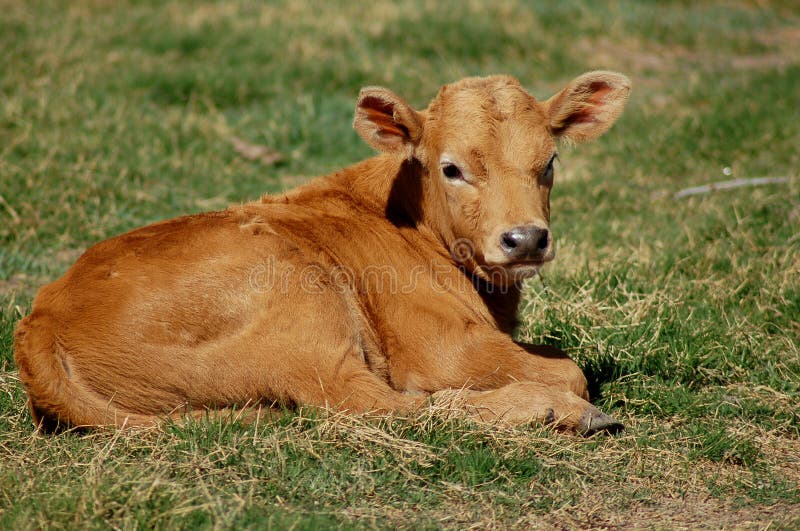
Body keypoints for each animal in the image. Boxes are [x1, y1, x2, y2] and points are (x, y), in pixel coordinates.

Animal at [14, 71, 630, 434]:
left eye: (549, 161)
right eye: (452, 168)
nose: (525, 238)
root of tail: (42, 316)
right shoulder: (441, 347)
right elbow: (570, 369)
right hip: (300, 303)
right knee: (373, 402)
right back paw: (553, 411)